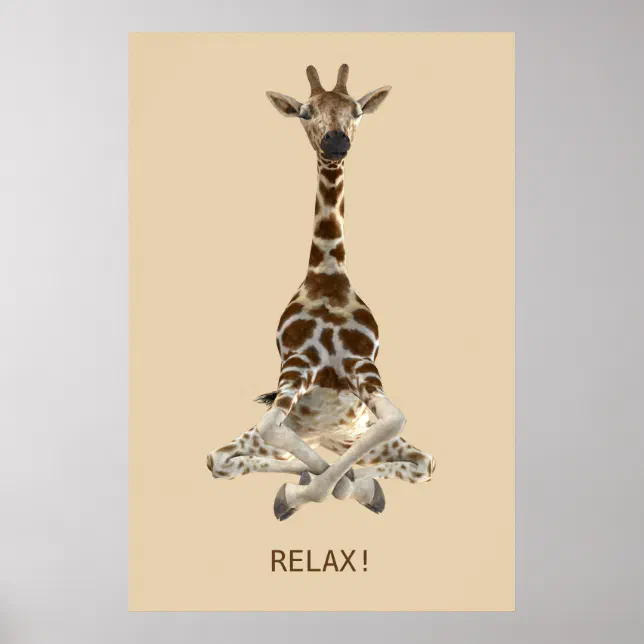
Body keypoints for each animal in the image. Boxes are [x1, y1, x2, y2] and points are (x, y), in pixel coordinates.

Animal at [206, 64, 436, 520]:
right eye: (305, 112)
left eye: (357, 110)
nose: (336, 141)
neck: (328, 279)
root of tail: (326, 436)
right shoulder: (296, 365)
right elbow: (270, 427)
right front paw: (301, 492)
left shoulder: (362, 366)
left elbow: (395, 421)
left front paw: (354, 488)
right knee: (223, 459)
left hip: (361, 438)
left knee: (420, 463)